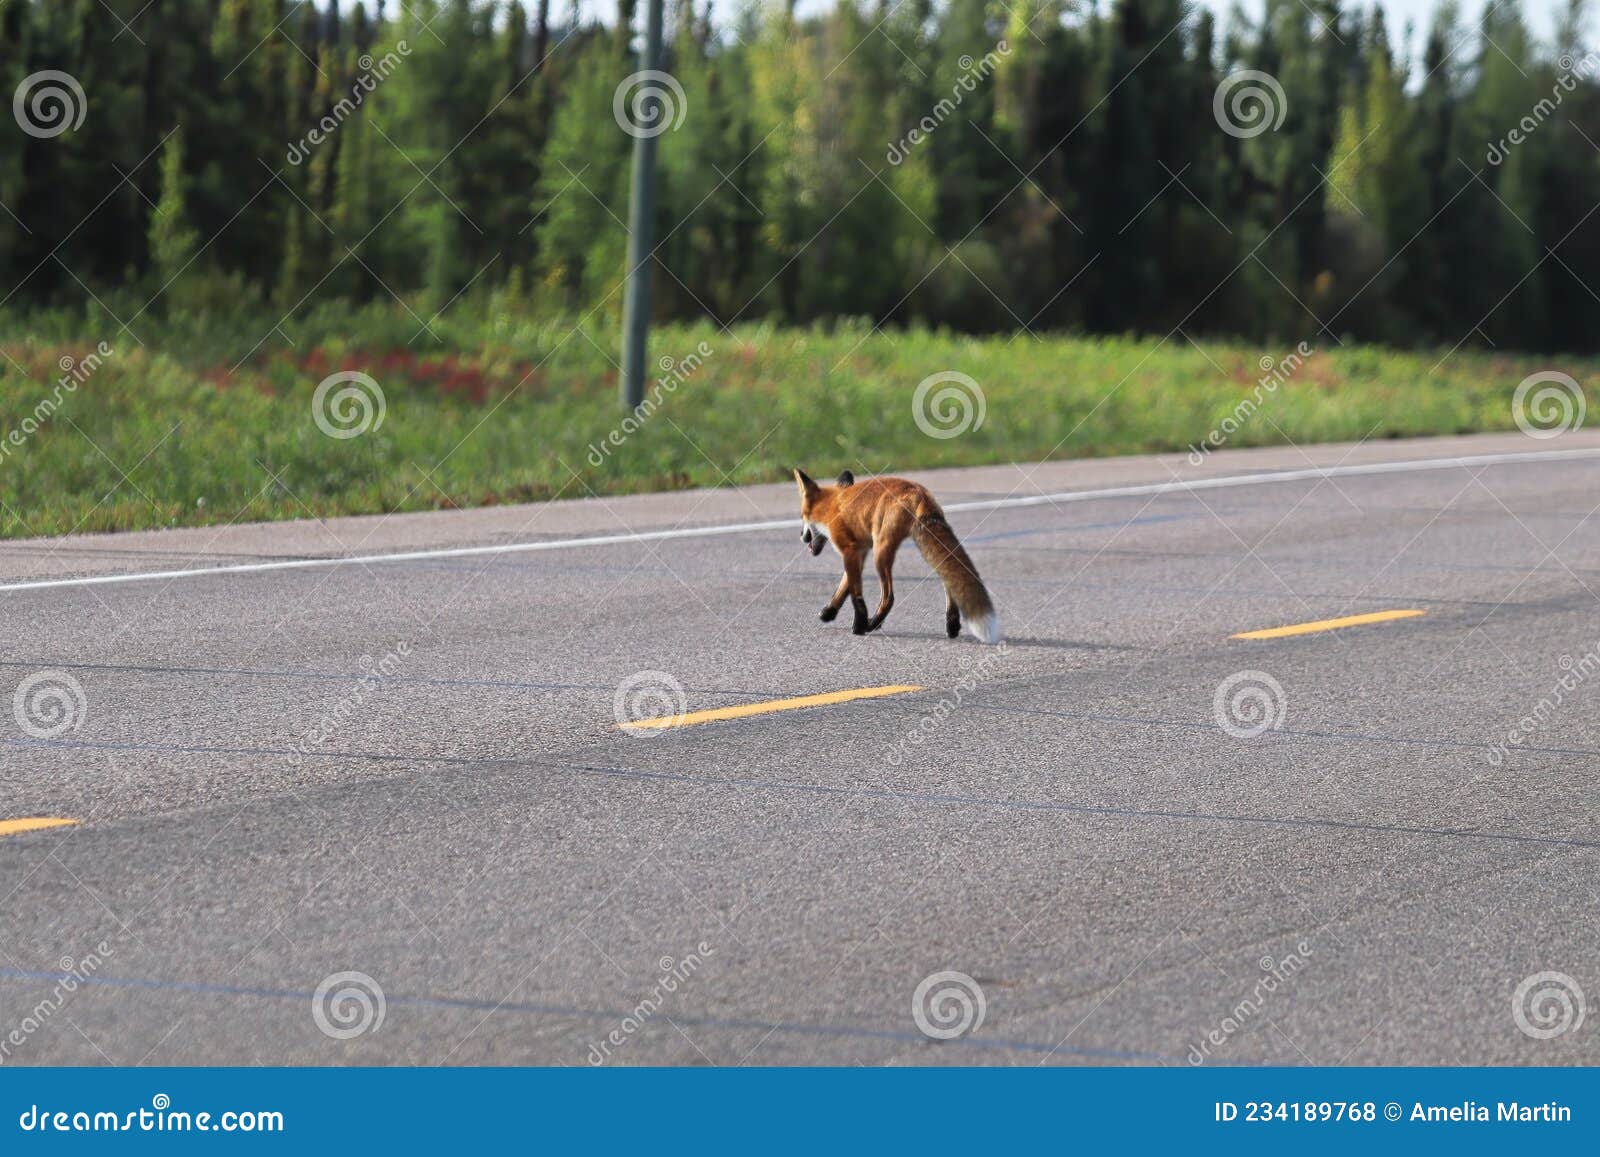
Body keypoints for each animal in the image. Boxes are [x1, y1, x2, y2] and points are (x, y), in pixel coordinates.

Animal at [794, 468, 1000, 644]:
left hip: (881, 551)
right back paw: (952, 625)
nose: (801, 536)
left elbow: (855, 594)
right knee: (948, 582)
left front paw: (859, 625)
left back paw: (873, 623)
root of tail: (919, 492)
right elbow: (844, 587)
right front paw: (829, 612)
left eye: (802, 516)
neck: (831, 507)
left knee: (889, 597)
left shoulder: (849, 550)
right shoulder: (860, 552)